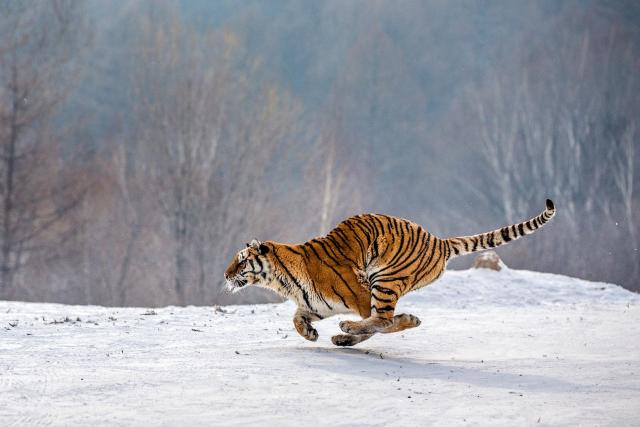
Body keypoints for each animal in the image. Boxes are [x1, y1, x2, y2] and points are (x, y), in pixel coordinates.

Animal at [224, 199, 556, 346]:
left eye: (240, 260)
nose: (226, 274)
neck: (283, 281)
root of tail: (439, 240)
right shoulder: (317, 305)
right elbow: (296, 318)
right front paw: (310, 334)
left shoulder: (359, 296)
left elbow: (379, 324)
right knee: (381, 321)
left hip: (383, 278)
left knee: (382, 319)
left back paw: (350, 329)